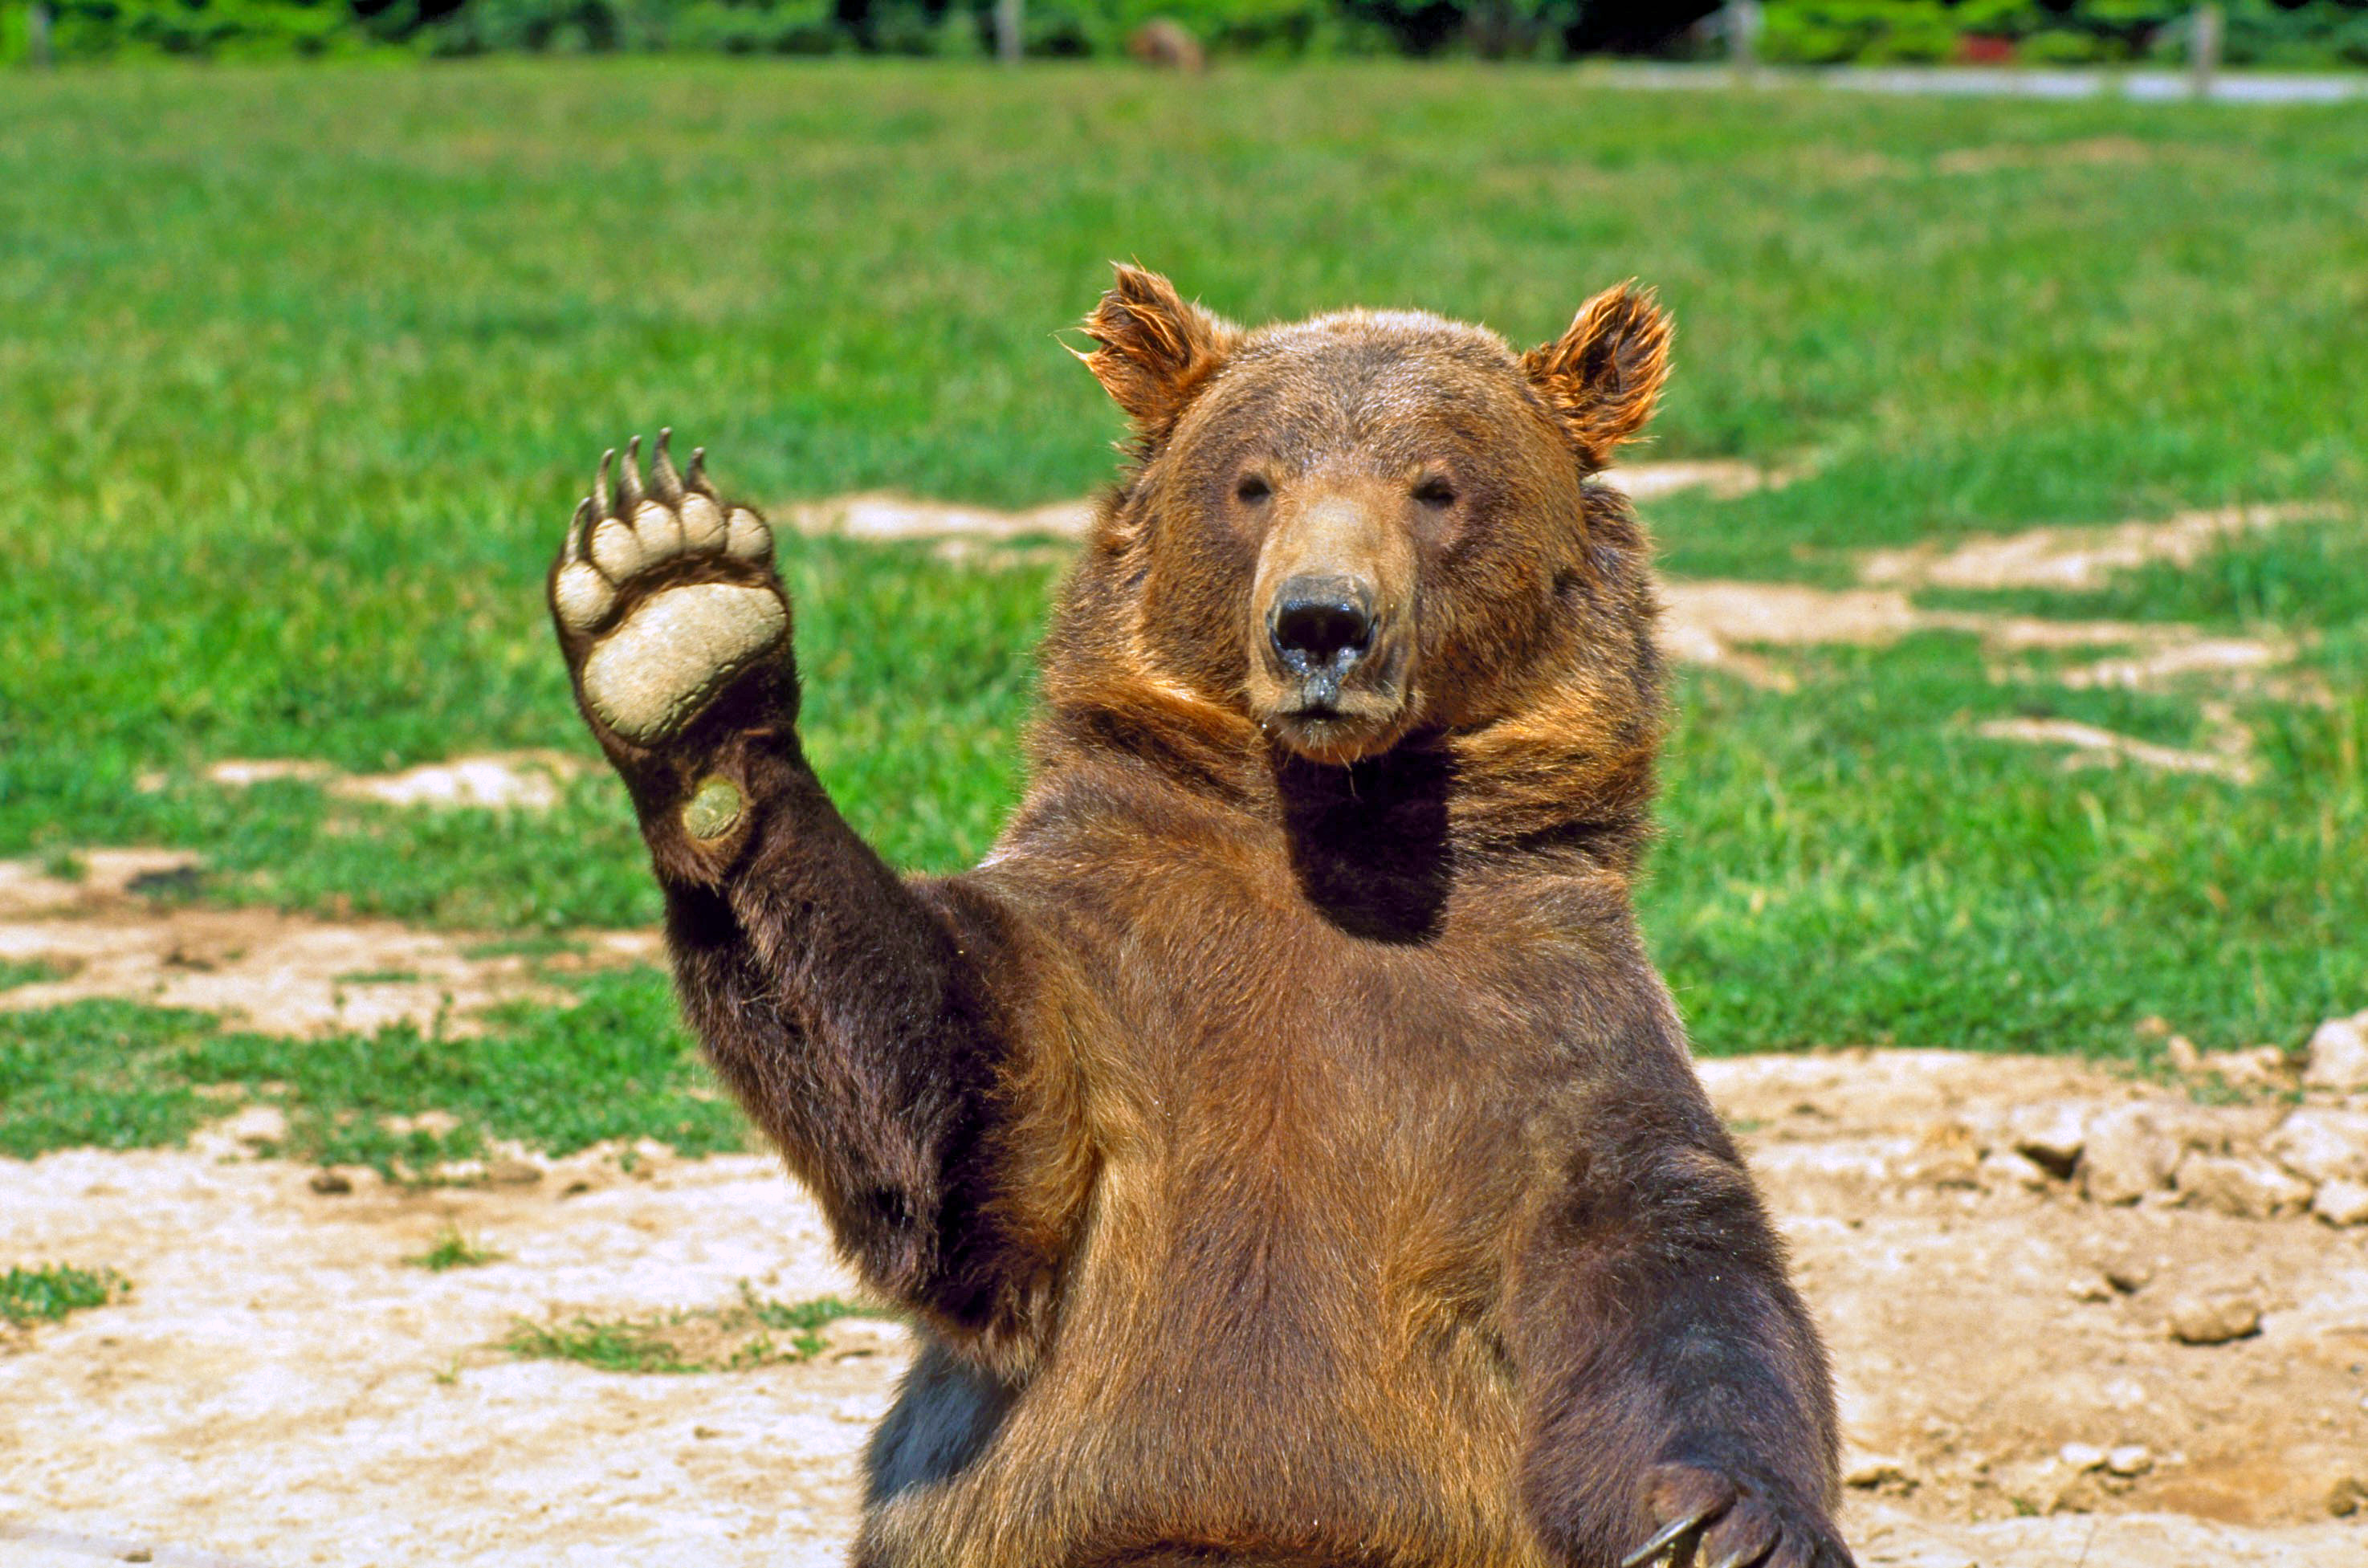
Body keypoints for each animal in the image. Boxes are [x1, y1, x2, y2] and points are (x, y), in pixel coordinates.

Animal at [547, 266, 1852, 1568]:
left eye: (1436, 485)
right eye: (1254, 480)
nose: (1322, 623)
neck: (1337, 837)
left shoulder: (1544, 1020)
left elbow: (1667, 1263)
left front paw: (1727, 1525)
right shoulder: (1109, 967)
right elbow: (950, 1118)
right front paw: (679, 626)